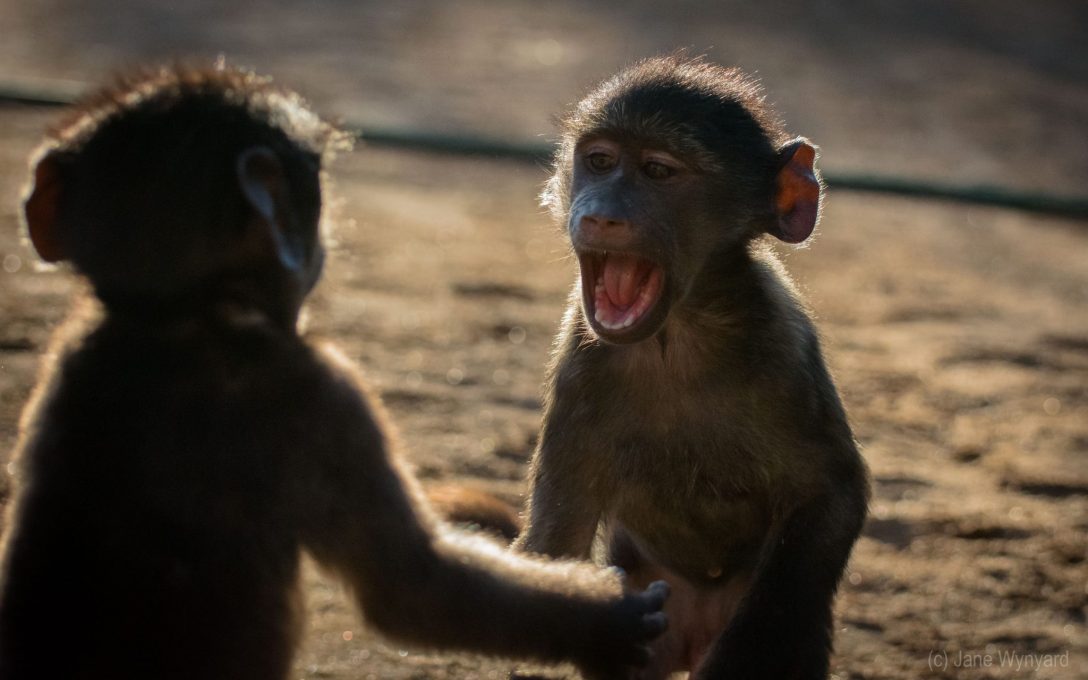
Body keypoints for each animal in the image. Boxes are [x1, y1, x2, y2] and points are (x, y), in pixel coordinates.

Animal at [0, 64, 669, 680]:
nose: (321, 240)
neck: (179, 315)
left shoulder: (72, 358)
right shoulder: (323, 390)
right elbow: (414, 586)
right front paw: (611, 620)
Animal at [513, 56, 870, 680]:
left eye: (658, 171)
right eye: (599, 162)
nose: (600, 215)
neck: (675, 337)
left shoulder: (786, 351)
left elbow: (833, 493)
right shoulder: (580, 361)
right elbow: (556, 541)